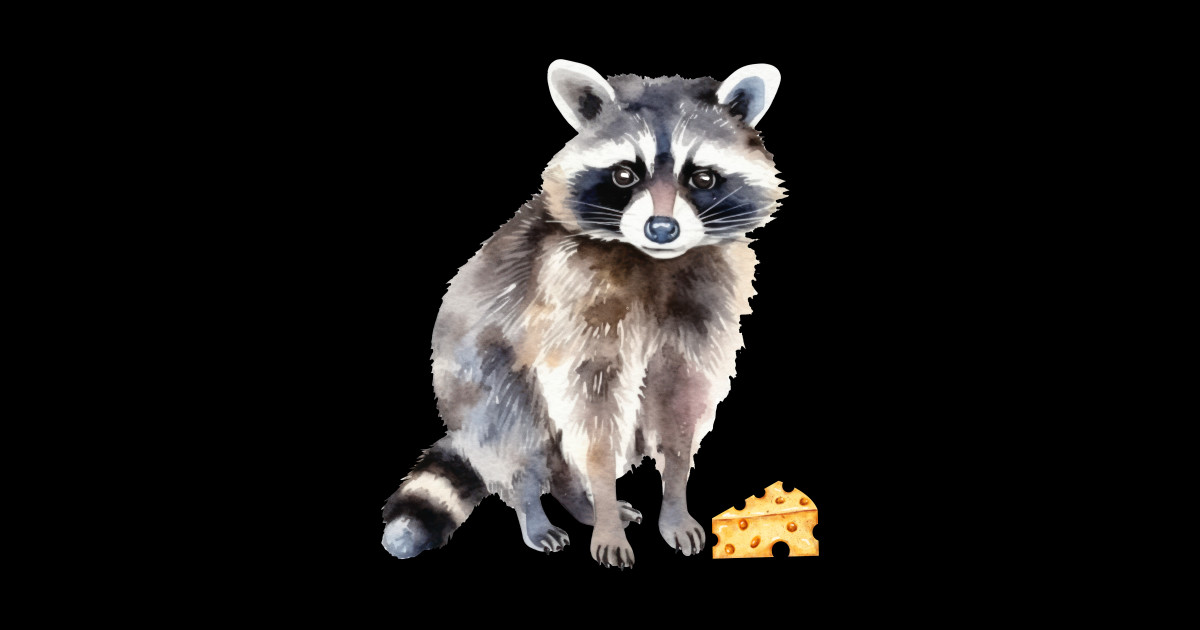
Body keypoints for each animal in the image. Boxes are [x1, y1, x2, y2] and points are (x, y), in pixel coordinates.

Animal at [382, 60, 784, 568]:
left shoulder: (703, 311)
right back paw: (537, 508)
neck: (654, 259)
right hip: (482, 377)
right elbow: (595, 425)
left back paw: (578, 501)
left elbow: (680, 407)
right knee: (517, 438)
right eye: (625, 174)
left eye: (703, 179)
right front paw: (604, 508)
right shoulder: (571, 302)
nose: (662, 227)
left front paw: (674, 501)